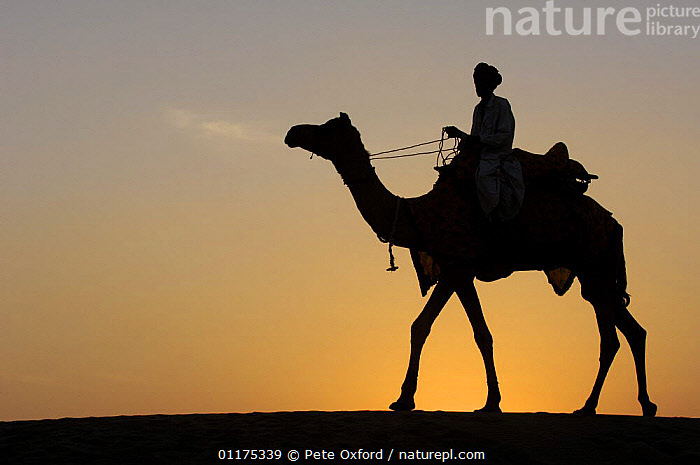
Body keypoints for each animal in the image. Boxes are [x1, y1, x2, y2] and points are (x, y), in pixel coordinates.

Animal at [284, 112, 657, 417]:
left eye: (326, 128)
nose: (292, 132)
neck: (417, 215)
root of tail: (614, 222)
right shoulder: (459, 270)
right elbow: (466, 332)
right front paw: (484, 401)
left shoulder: (457, 266)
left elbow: (436, 327)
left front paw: (411, 400)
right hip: (594, 273)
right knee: (628, 329)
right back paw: (636, 405)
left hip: (595, 262)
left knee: (611, 337)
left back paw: (594, 406)